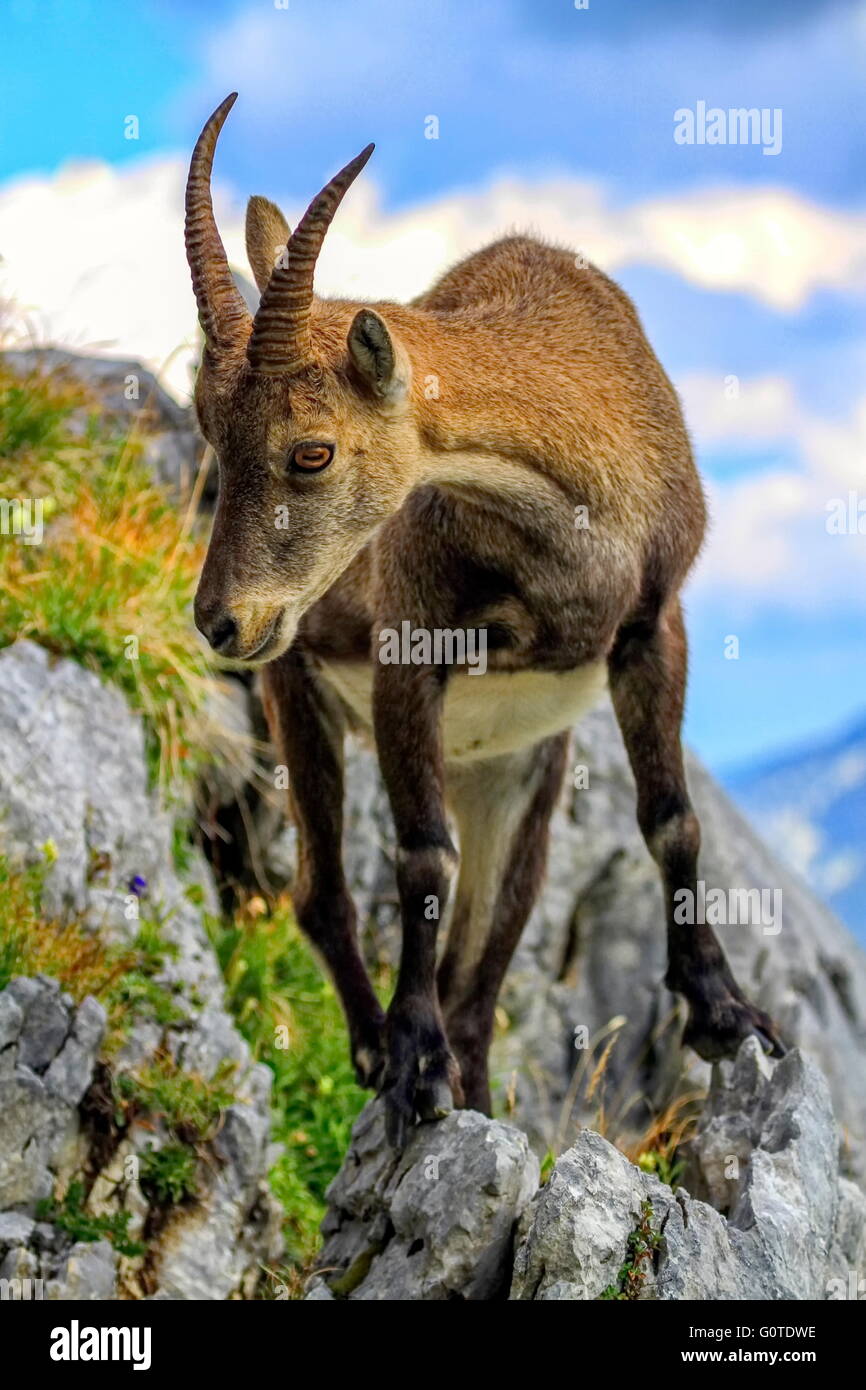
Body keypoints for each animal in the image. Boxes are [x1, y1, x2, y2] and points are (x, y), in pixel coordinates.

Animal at [185, 95, 785, 1147]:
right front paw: (411, 1063)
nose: (220, 621)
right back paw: (378, 1049)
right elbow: (421, 853)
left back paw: (466, 1082)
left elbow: (671, 819)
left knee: (483, 965)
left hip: (516, 773)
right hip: (299, 693)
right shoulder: (409, 644)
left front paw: (724, 1013)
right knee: (323, 893)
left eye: (312, 451)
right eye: (208, 430)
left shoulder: (653, 625)